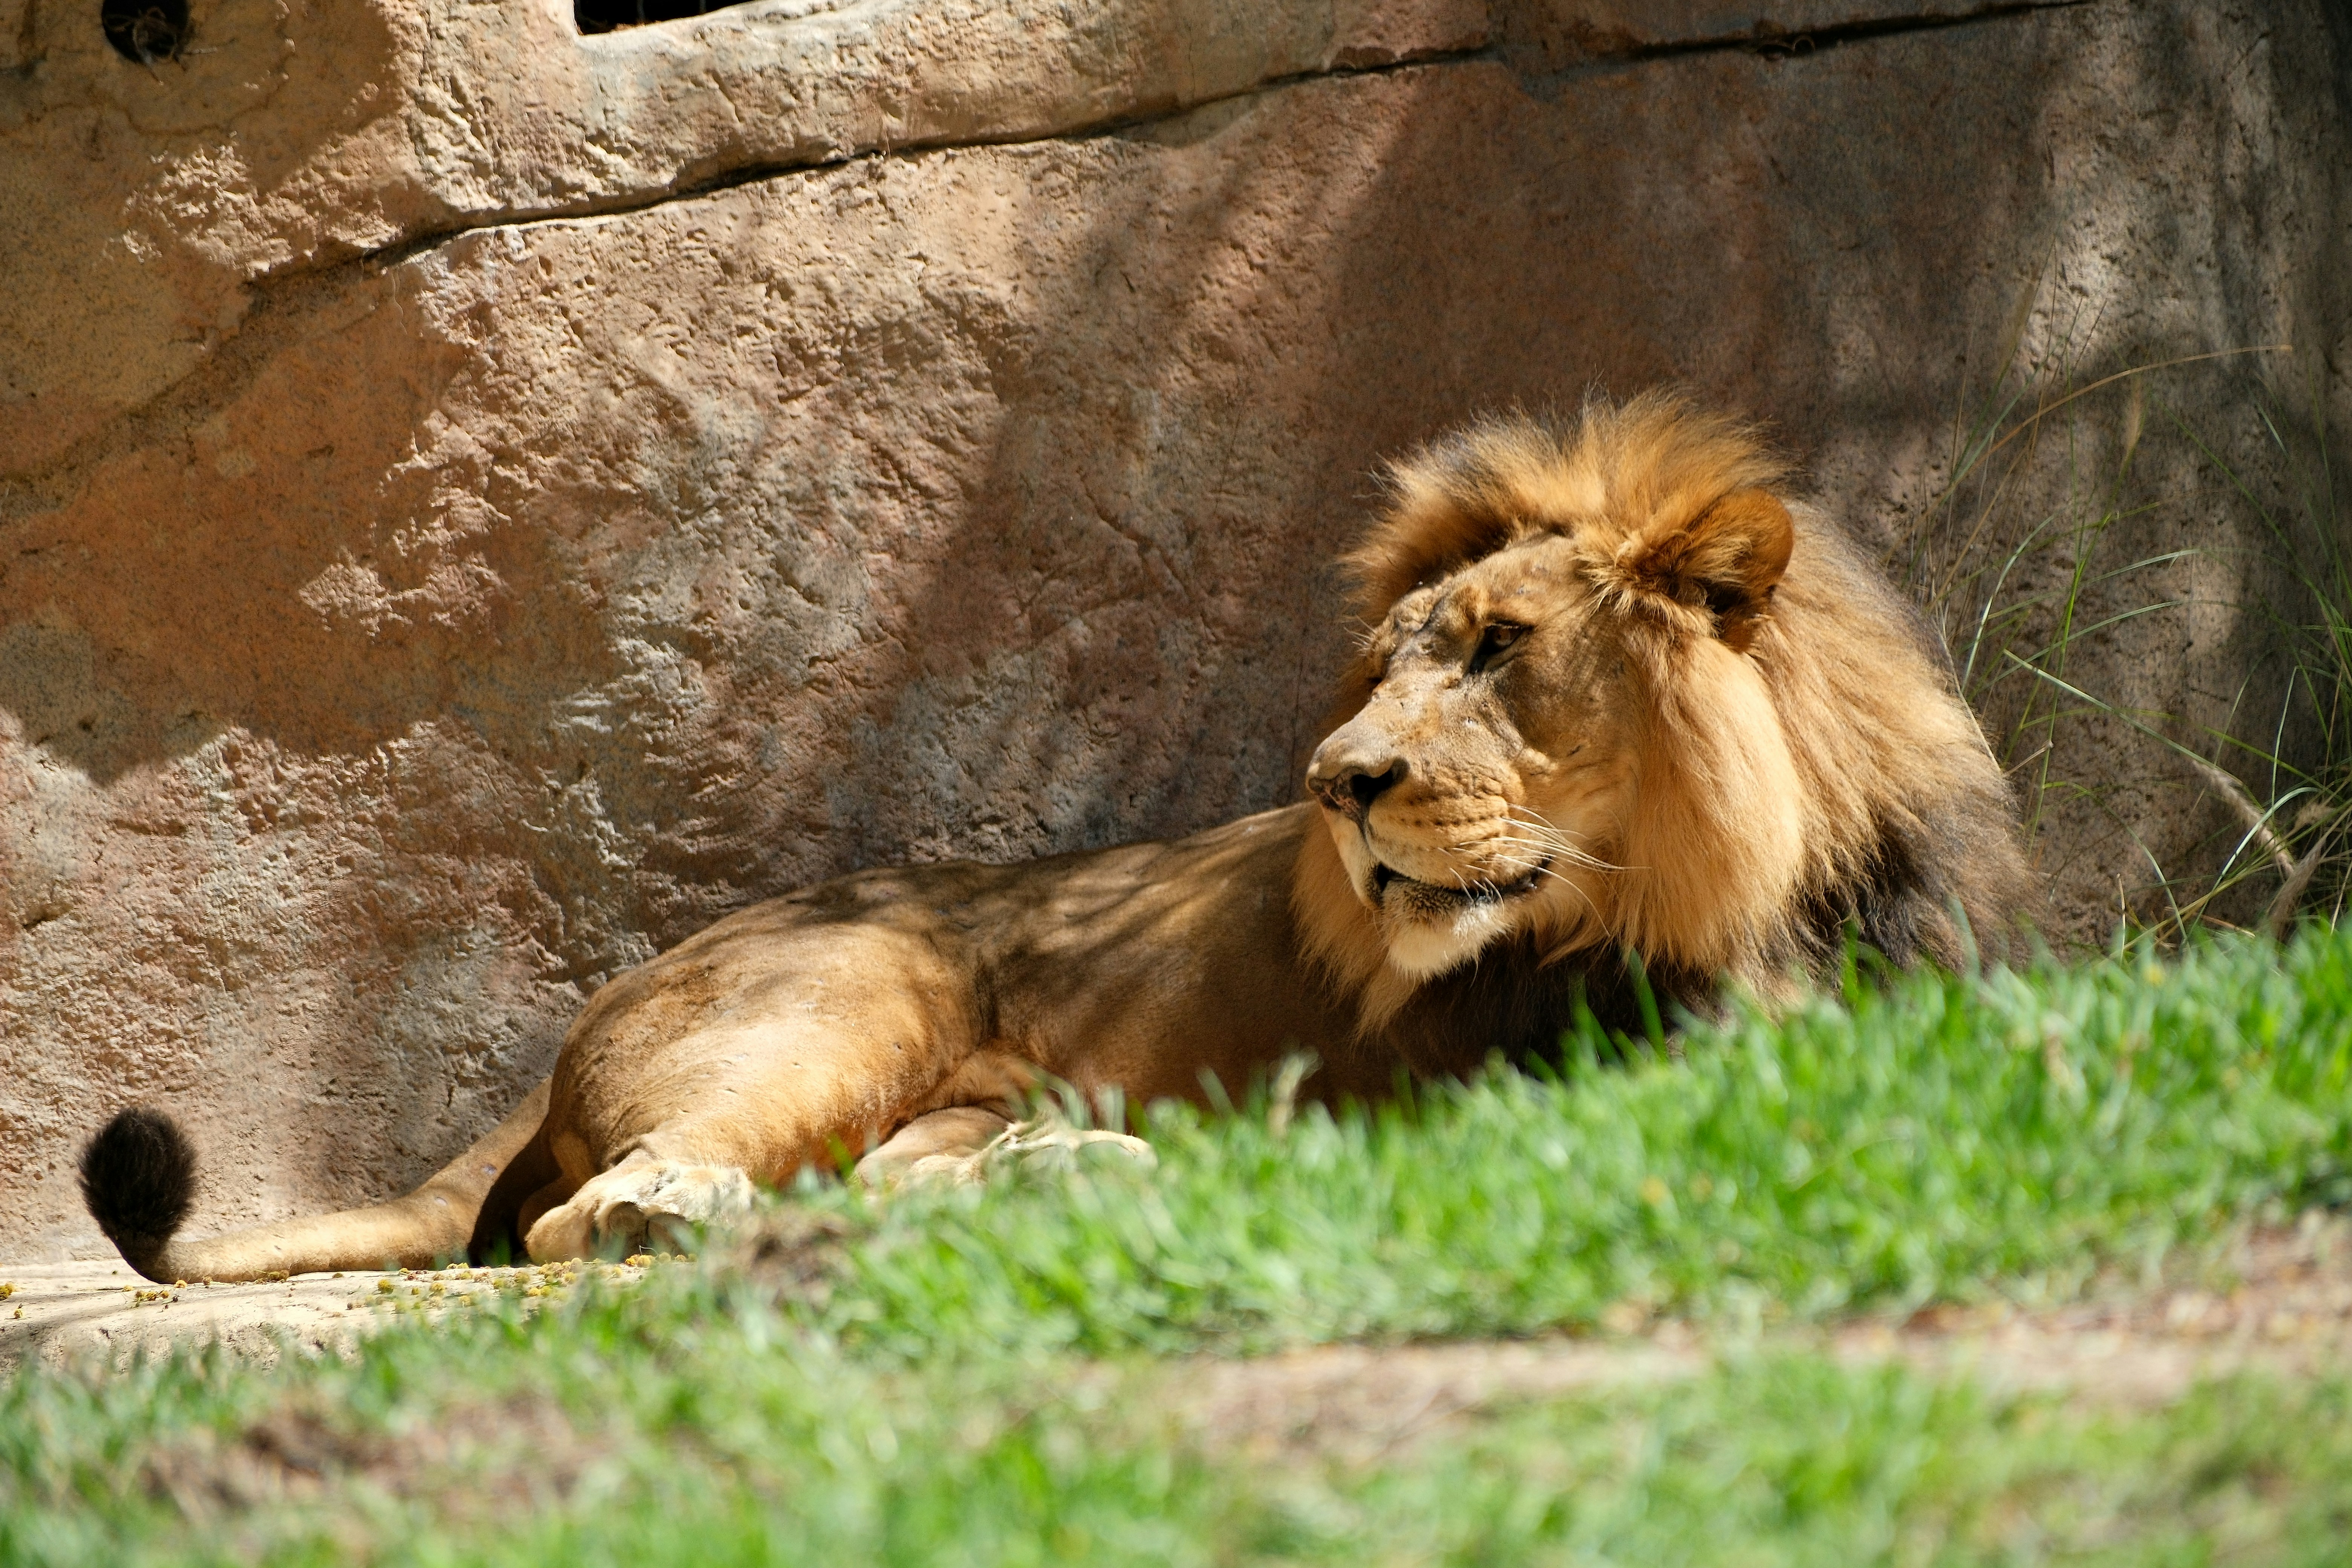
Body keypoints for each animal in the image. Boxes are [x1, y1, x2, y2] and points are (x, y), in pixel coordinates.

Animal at [80, 392, 2032, 1280]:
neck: (1754, 899)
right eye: (1398, 656)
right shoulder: (1497, 1098)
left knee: (884, 1187)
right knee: (605, 1215)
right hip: (846, 993)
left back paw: (1059, 1169)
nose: (1333, 779)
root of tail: (583, 1021)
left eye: (1493, 649)